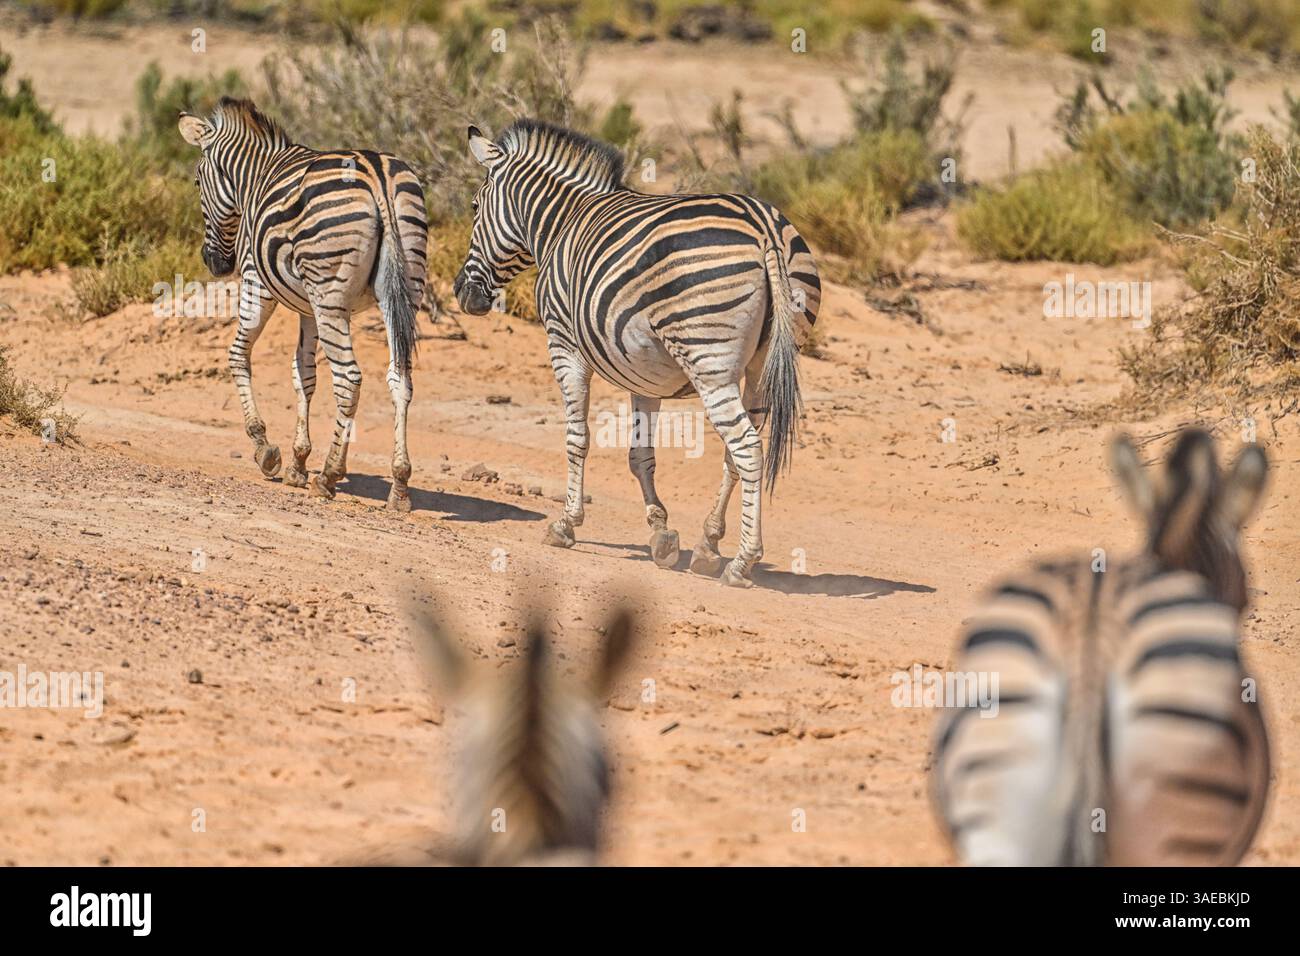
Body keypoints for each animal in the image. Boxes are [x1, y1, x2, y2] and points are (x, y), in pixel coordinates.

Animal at [177, 97, 427, 510]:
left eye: (197, 182)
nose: (215, 263)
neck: (254, 178)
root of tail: (378, 176)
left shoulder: (257, 283)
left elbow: (237, 354)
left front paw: (266, 449)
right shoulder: (308, 308)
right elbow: (303, 375)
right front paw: (297, 461)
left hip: (329, 296)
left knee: (349, 378)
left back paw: (329, 475)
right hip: (404, 291)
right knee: (400, 378)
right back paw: (400, 485)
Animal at [453, 120, 821, 587]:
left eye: (474, 206)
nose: (462, 294)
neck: (561, 223)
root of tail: (764, 230)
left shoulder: (563, 343)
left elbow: (577, 438)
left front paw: (566, 525)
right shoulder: (643, 372)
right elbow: (640, 456)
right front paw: (662, 535)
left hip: (710, 362)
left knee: (746, 447)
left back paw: (741, 563)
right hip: (759, 368)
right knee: (736, 452)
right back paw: (708, 545)